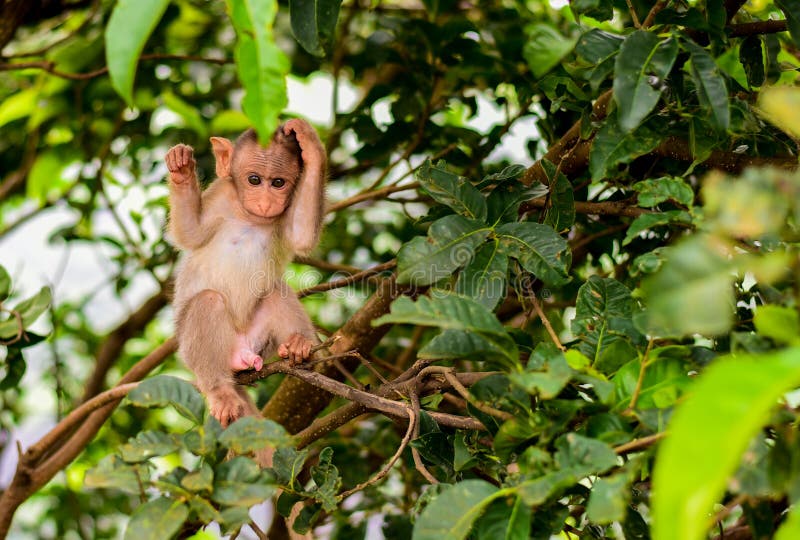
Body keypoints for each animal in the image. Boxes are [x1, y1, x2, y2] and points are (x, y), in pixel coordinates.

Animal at [165, 119, 326, 428]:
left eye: (278, 183)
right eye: (254, 180)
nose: (265, 202)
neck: (248, 216)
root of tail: (242, 352)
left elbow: (300, 235)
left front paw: (310, 144)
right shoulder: (220, 195)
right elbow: (190, 232)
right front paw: (181, 170)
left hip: (261, 341)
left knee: (275, 290)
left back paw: (300, 346)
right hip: (190, 349)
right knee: (207, 302)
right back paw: (220, 390)